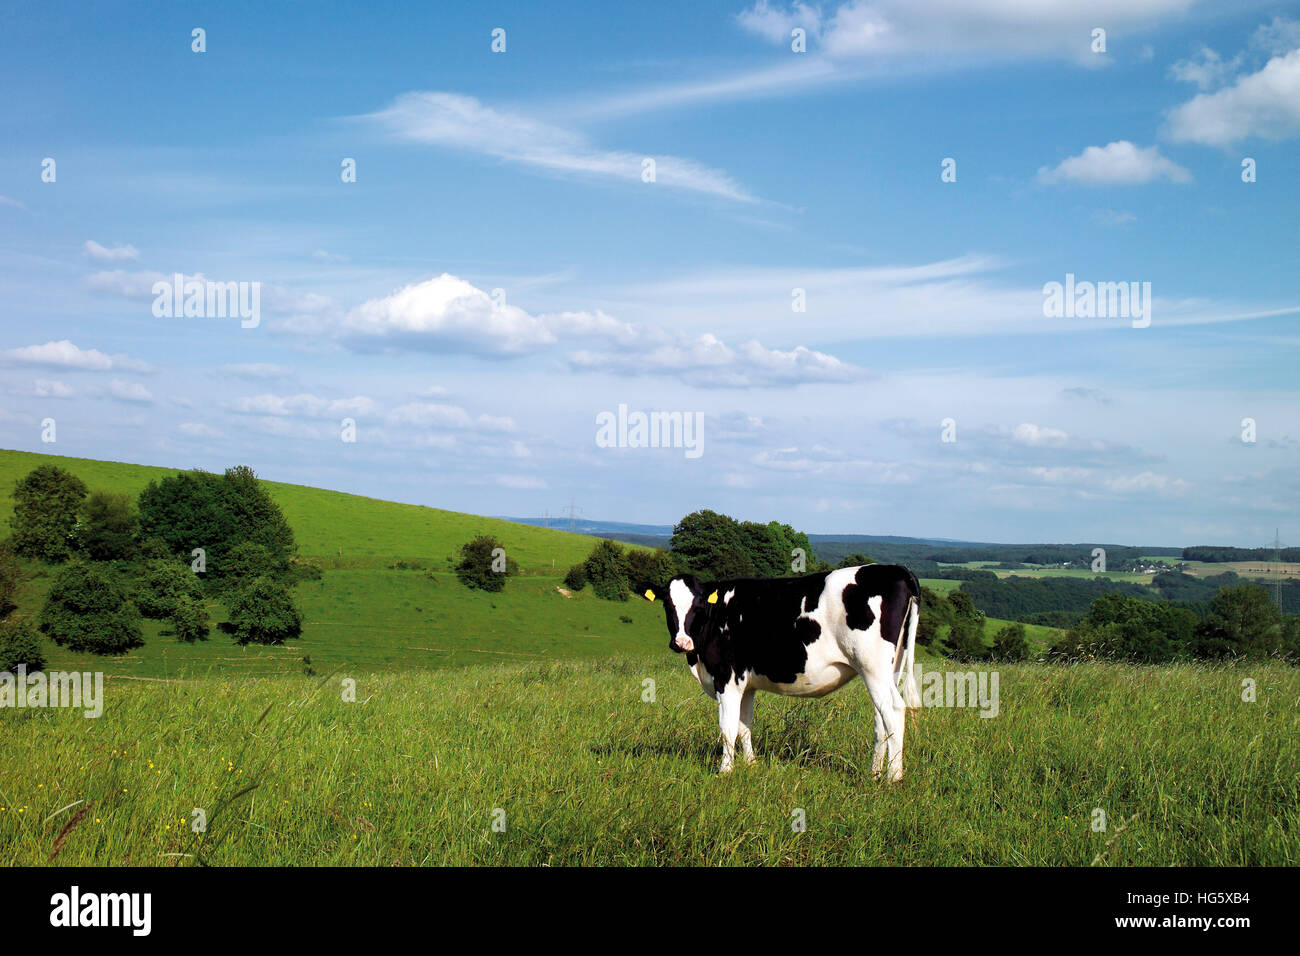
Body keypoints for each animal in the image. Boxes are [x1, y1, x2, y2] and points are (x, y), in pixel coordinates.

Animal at [644, 564, 921, 781]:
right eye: (667, 605)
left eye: (698, 605)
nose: (681, 642)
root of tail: (898, 569)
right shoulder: (746, 684)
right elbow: (745, 726)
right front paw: (751, 764)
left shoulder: (727, 678)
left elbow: (728, 727)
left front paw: (725, 770)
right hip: (890, 669)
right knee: (880, 720)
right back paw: (875, 773)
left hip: (873, 667)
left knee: (894, 710)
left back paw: (893, 778)